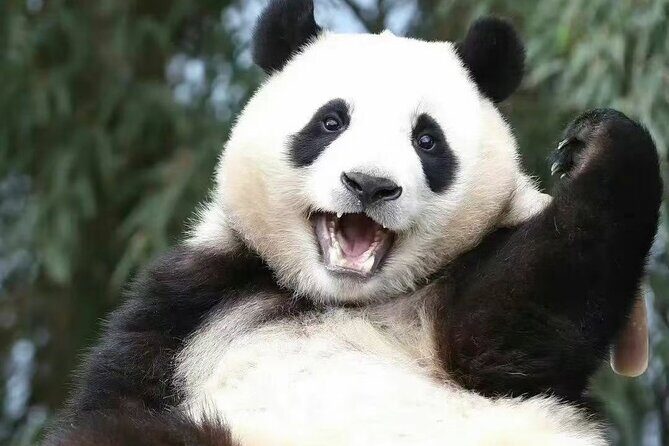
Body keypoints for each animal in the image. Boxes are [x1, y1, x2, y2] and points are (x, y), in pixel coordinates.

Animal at [46, 0, 661, 445]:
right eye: (331, 121)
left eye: (426, 139)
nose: (369, 185)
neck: (342, 297)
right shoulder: (197, 297)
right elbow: (118, 397)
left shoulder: (465, 305)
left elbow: (516, 323)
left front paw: (595, 144)